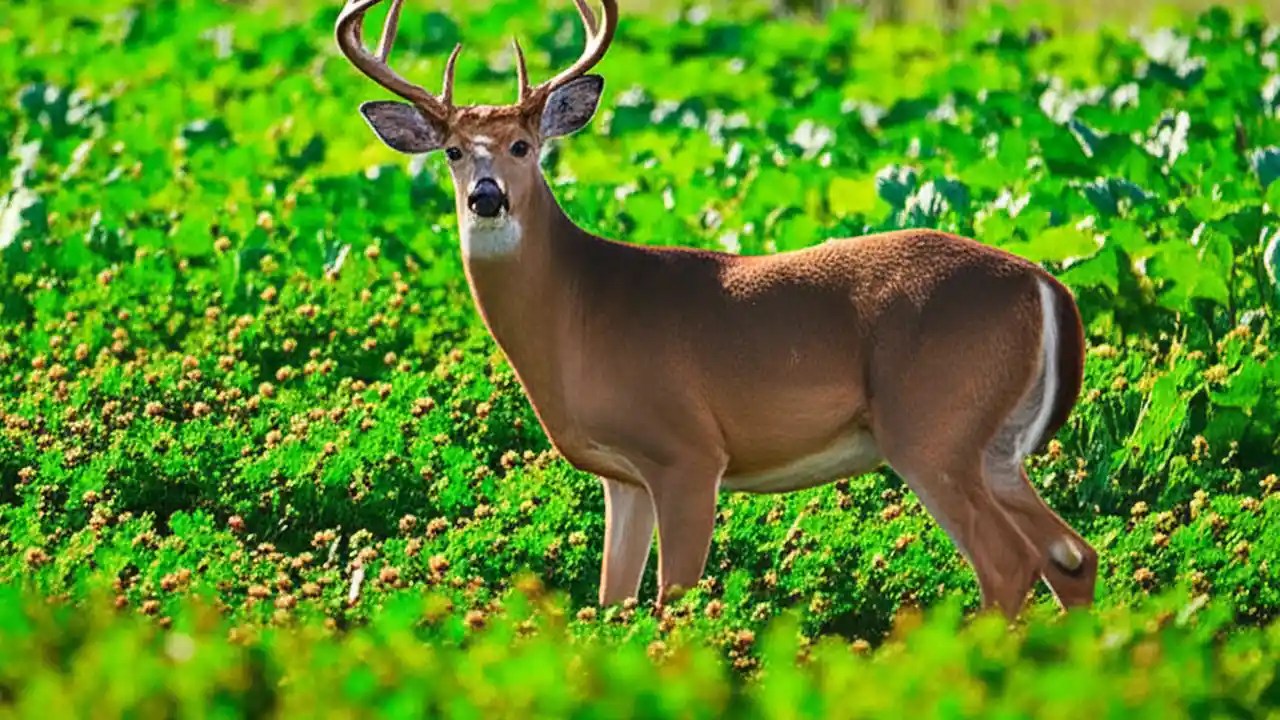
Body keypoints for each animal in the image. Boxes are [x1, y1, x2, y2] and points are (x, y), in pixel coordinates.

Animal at [334, 0, 1099, 620]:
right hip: (994, 445)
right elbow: (613, 602)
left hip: (933, 424)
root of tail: (1046, 284)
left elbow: (673, 598)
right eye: (453, 152)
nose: (486, 196)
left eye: (525, 146)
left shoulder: (688, 451)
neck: (579, 311)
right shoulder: (623, 475)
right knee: (1072, 555)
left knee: (1009, 563)